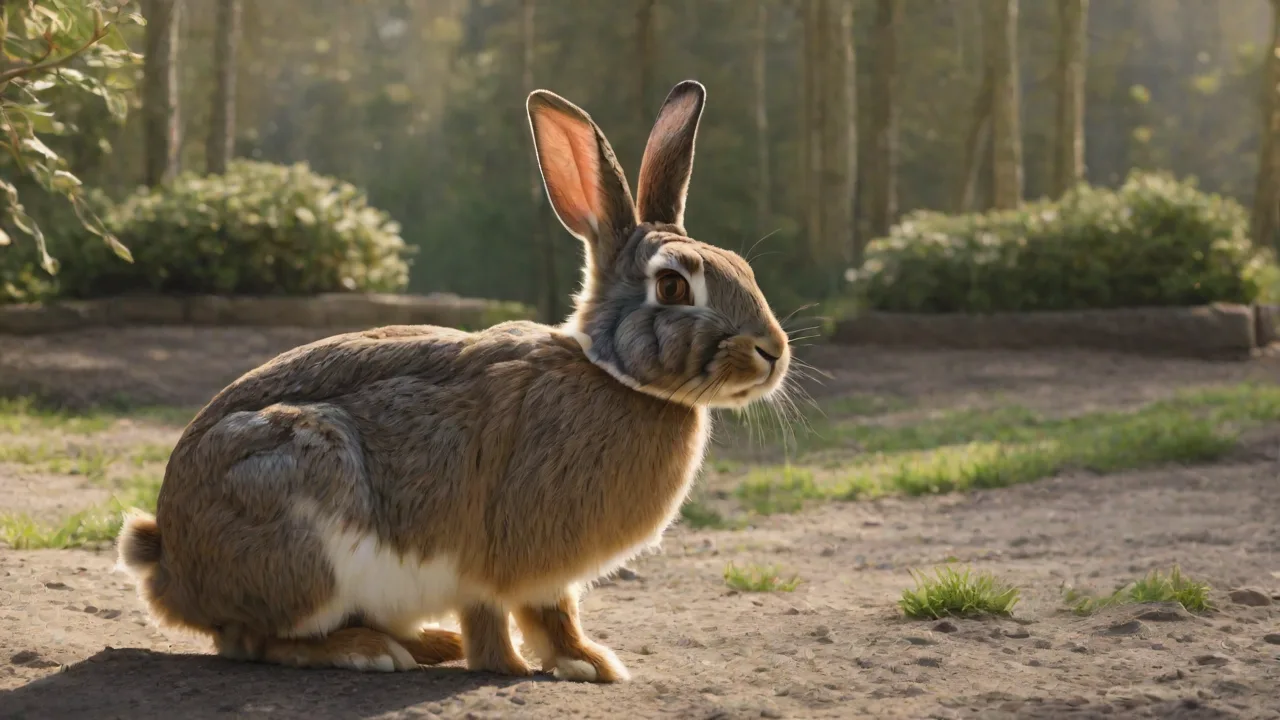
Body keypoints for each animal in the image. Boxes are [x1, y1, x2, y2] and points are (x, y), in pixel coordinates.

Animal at [116, 80, 791, 683]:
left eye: (743, 267)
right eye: (673, 286)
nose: (773, 353)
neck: (613, 373)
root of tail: (171, 561)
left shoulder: (538, 574)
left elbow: (551, 613)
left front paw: (586, 662)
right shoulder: (500, 561)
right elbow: (513, 614)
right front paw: (541, 666)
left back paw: (428, 643)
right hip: (301, 530)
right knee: (256, 640)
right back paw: (368, 651)